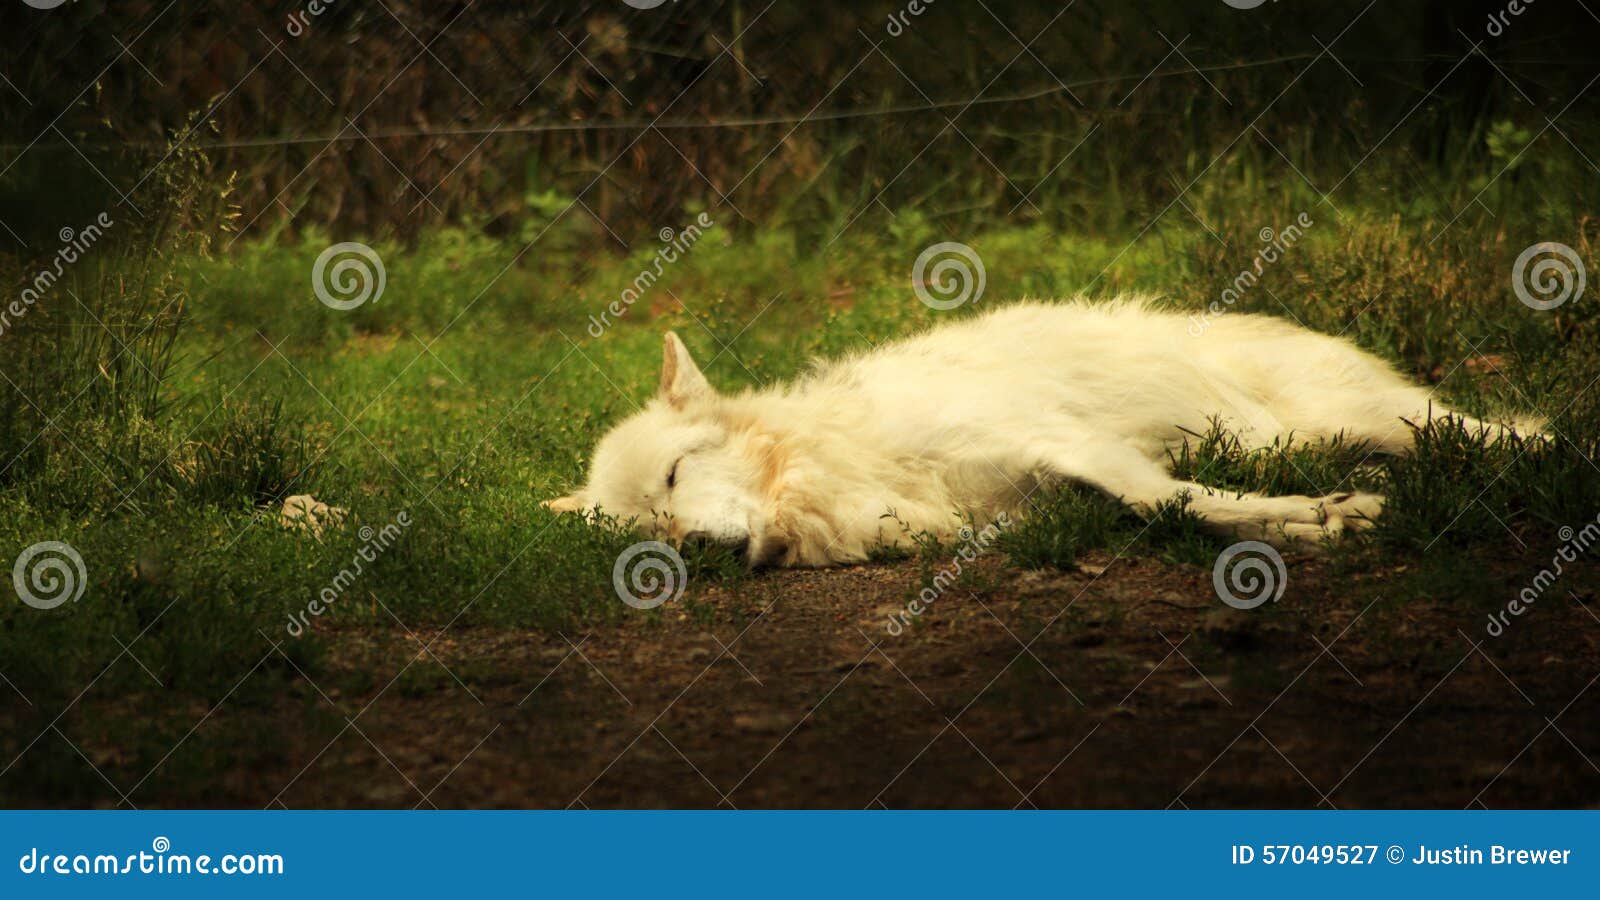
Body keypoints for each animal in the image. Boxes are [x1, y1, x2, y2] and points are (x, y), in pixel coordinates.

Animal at [545, 298, 1542, 567]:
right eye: (653, 536)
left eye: (677, 475)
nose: (708, 548)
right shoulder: (1034, 508)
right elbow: (1172, 509)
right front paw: (1312, 519)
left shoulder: (1069, 447)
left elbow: (1170, 499)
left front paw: (1329, 516)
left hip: (1347, 419)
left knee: (1495, 430)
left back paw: (1538, 454)